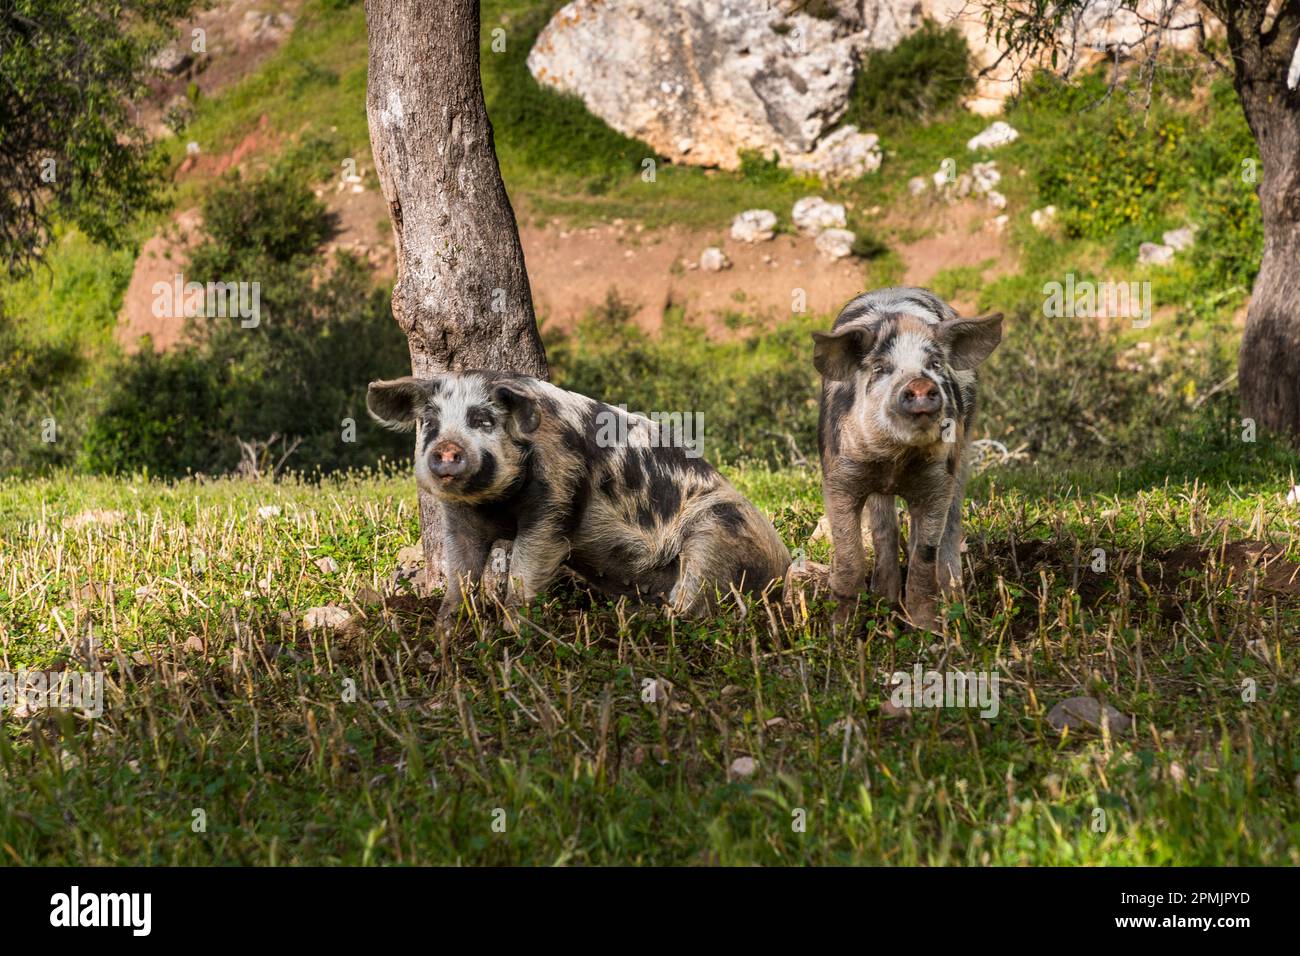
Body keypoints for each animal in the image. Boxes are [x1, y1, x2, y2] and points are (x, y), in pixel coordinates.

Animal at [367, 370, 790, 633]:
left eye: (483, 420)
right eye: (430, 423)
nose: (447, 448)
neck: (496, 504)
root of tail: (784, 565)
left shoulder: (557, 495)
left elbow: (527, 568)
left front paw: (512, 632)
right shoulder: (460, 518)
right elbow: (460, 574)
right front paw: (445, 629)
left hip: (717, 532)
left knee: (695, 605)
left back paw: (642, 622)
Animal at [812, 287, 1002, 630]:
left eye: (935, 364)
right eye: (880, 368)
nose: (920, 384)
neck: (894, 460)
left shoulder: (938, 480)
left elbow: (924, 554)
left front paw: (928, 629)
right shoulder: (839, 476)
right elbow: (848, 555)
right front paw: (839, 631)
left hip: (964, 451)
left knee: (950, 526)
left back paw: (954, 599)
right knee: (883, 527)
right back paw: (884, 599)